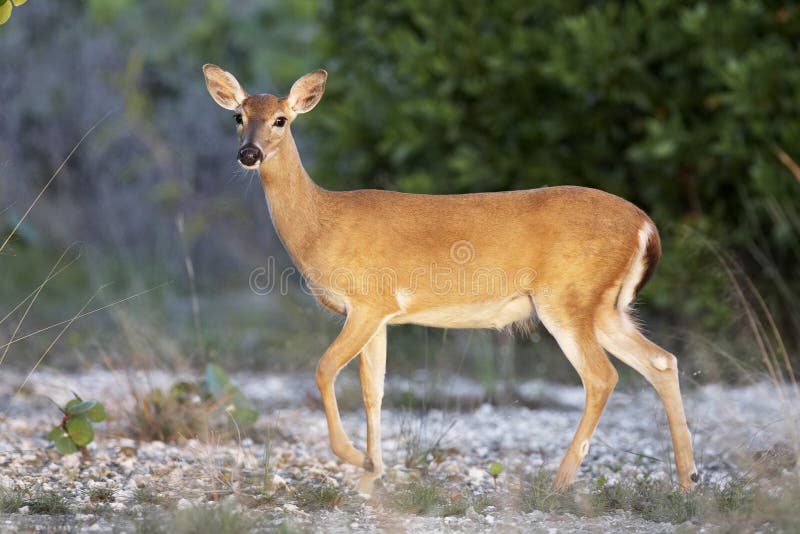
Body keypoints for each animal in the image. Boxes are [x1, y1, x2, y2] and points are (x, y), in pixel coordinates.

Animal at [202, 64, 699, 494]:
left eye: (281, 119)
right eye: (237, 117)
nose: (249, 154)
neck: (321, 224)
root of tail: (646, 226)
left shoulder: (368, 300)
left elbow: (325, 369)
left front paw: (355, 460)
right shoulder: (380, 316)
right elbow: (373, 390)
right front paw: (371, 475)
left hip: (566, 299)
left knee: (603, 376)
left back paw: (560, 482)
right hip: (605, 306)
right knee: (661, 361)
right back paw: (687, 480)